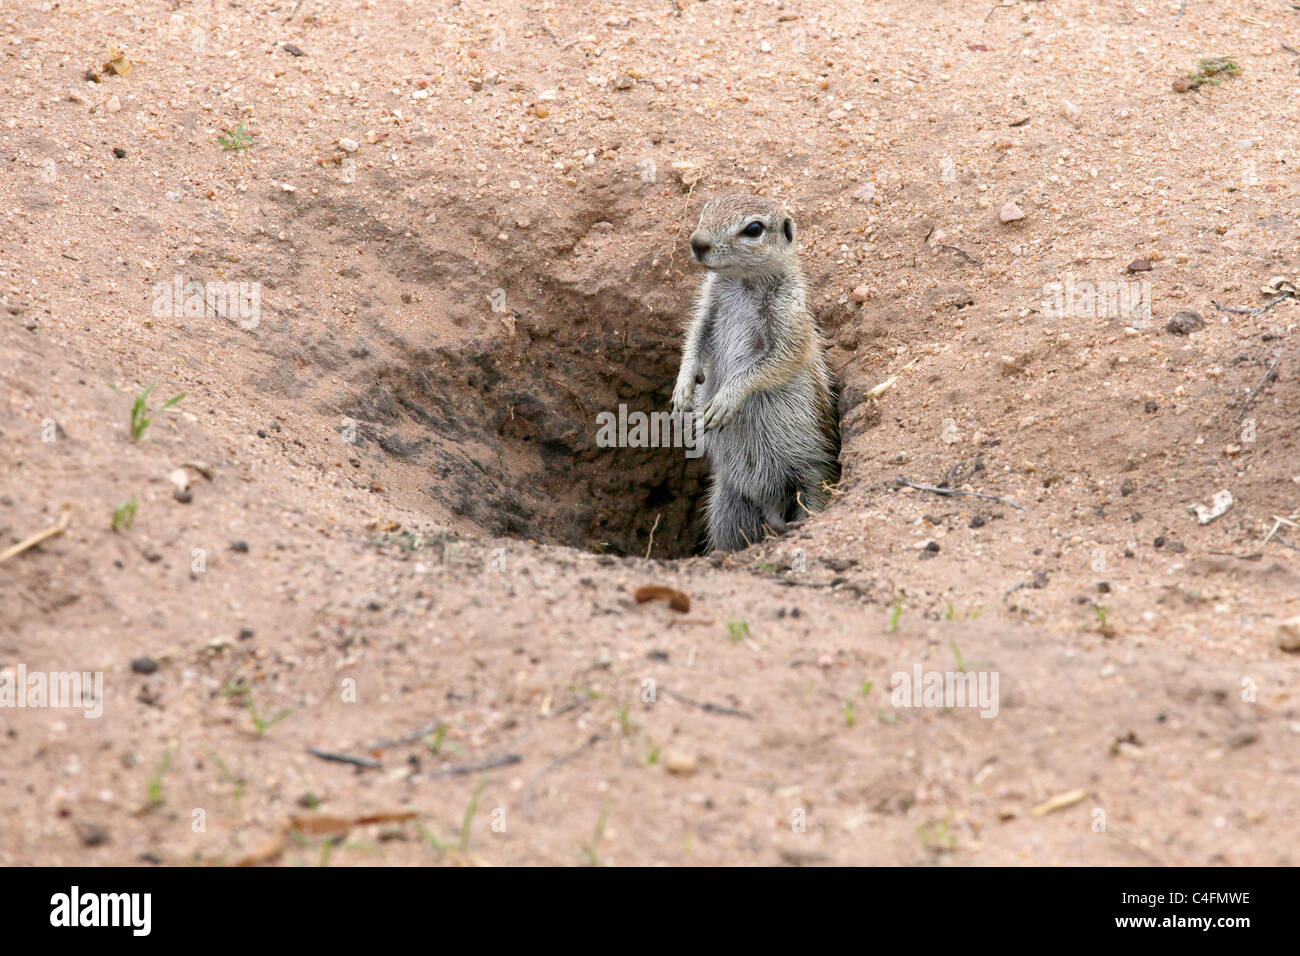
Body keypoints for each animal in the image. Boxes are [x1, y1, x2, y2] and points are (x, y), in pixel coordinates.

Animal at [671, 194, 840, 552]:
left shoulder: (791, 315)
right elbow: (695, 337)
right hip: (727, 504)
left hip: (813, 477)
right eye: (705, 210)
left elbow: (776, 360)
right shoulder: (708, 302)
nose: (697, 242)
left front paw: (726, 399)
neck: (743, 281)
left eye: (753, 229)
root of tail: (770, 505)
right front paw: (683, 388)